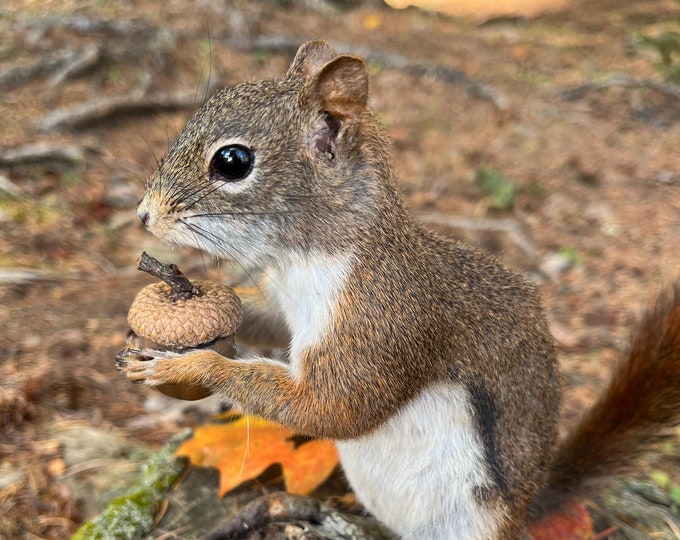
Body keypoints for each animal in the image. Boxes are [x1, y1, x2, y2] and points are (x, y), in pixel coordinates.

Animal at [118, 40, 680, 539]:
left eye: (232, 162)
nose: (144, 214)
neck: (304, 260)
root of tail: (527, 507)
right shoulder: (287, 303)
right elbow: (267, 322)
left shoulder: (385, 320)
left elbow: (333, 407)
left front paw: (189, 366)